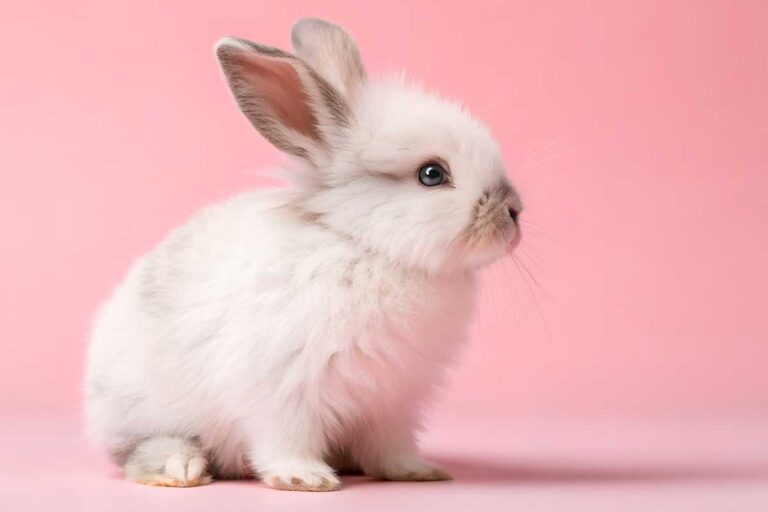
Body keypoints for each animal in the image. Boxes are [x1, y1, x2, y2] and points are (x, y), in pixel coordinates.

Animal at [85, 17, 523, 491]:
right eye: (431, 174)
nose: (514, 212)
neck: (362, 243)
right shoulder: (285, 388)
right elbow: (287, 437)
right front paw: (304, 479)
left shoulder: (393, 400)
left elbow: (389, 446)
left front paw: (416, 472)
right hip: (143, 412)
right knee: (144, 451)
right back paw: (181, 470)